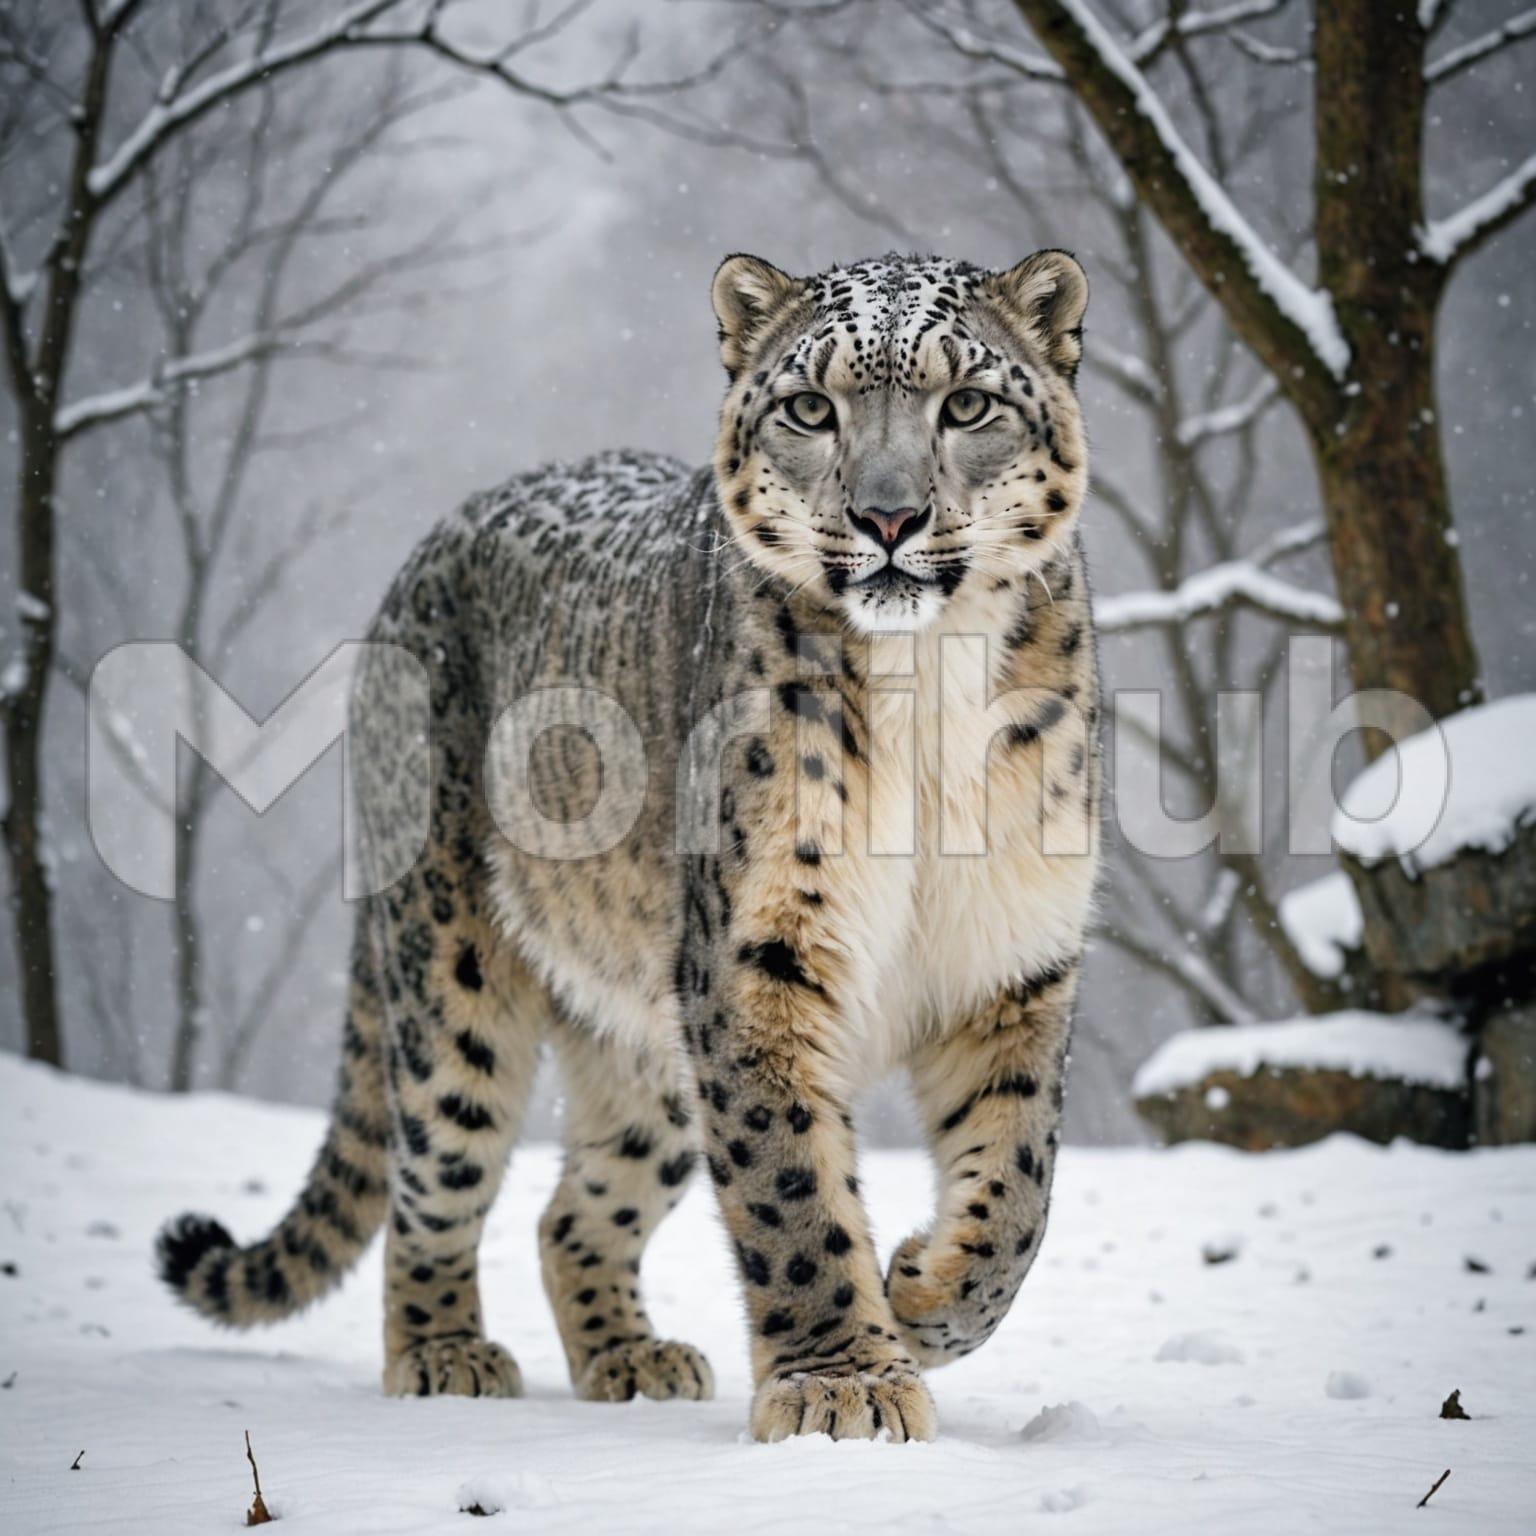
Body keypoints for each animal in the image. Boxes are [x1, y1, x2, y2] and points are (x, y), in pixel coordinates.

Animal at [157, 249, 1103, 1443]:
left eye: (968, 403)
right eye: (811, 407)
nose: (888, 515)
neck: (930, 686)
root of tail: (431, 547)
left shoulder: (1012, 949)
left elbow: (1021, 1175)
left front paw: (926, 1295)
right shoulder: (759, 952)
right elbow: (792, 1184)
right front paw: (843, 1382)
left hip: (649, 1042)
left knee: (575, 1207)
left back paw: (632, 1357)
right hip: (452, 977)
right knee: (435, 1172)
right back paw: (446, 1354)